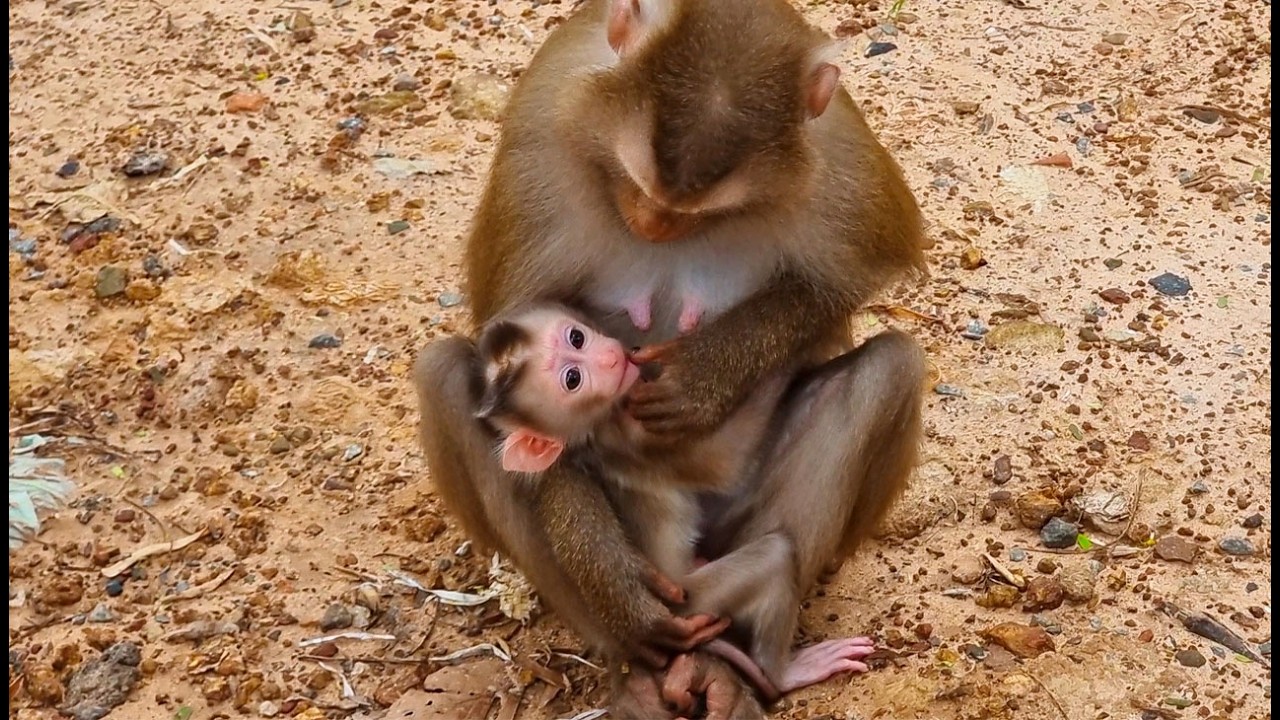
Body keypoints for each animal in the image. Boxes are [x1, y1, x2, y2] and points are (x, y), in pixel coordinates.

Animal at [414, 0, 928, 710]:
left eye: (693, 211)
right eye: (638, 185)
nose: (654, 224)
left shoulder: (839, 161)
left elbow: (851, 278)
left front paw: (705, 374)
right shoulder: (537, 144)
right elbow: (508, 339)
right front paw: (617, 589)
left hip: (730, 534)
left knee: (890, 370)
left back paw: (742, 666)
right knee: (443, 376)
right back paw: (640, 661)